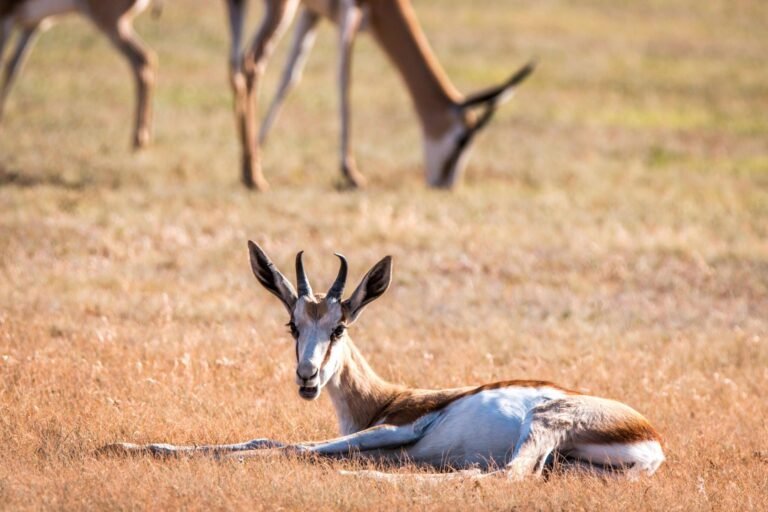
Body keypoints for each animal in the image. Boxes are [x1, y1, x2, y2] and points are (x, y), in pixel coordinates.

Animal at [0, 0, 156, 148]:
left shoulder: (8, 18)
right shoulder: (32, 24)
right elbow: (13, 67)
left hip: (110, 20)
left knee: (142, 58)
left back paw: (138, 139)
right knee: (145, 59)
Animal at [103, 242, 666, 481]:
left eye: (339, 327)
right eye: (293, 326)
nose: (307, 377)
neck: (383, 399)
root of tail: (650, 438)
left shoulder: (397, 428)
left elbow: (288, 445)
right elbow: (268, 439)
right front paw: (122, 444)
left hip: (544, 424)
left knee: (502, 475)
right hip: (565, 463)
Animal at [224, 0, 535, 190]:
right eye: (462, 140)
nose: (445, 185)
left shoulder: (311, 13)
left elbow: (289, 77)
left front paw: (255, 150)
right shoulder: (350, 13)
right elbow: (344, 79)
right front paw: (351, 173)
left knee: (235, 66)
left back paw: (250, 170)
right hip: (279, 6)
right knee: (251, 64)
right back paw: (254, 178)